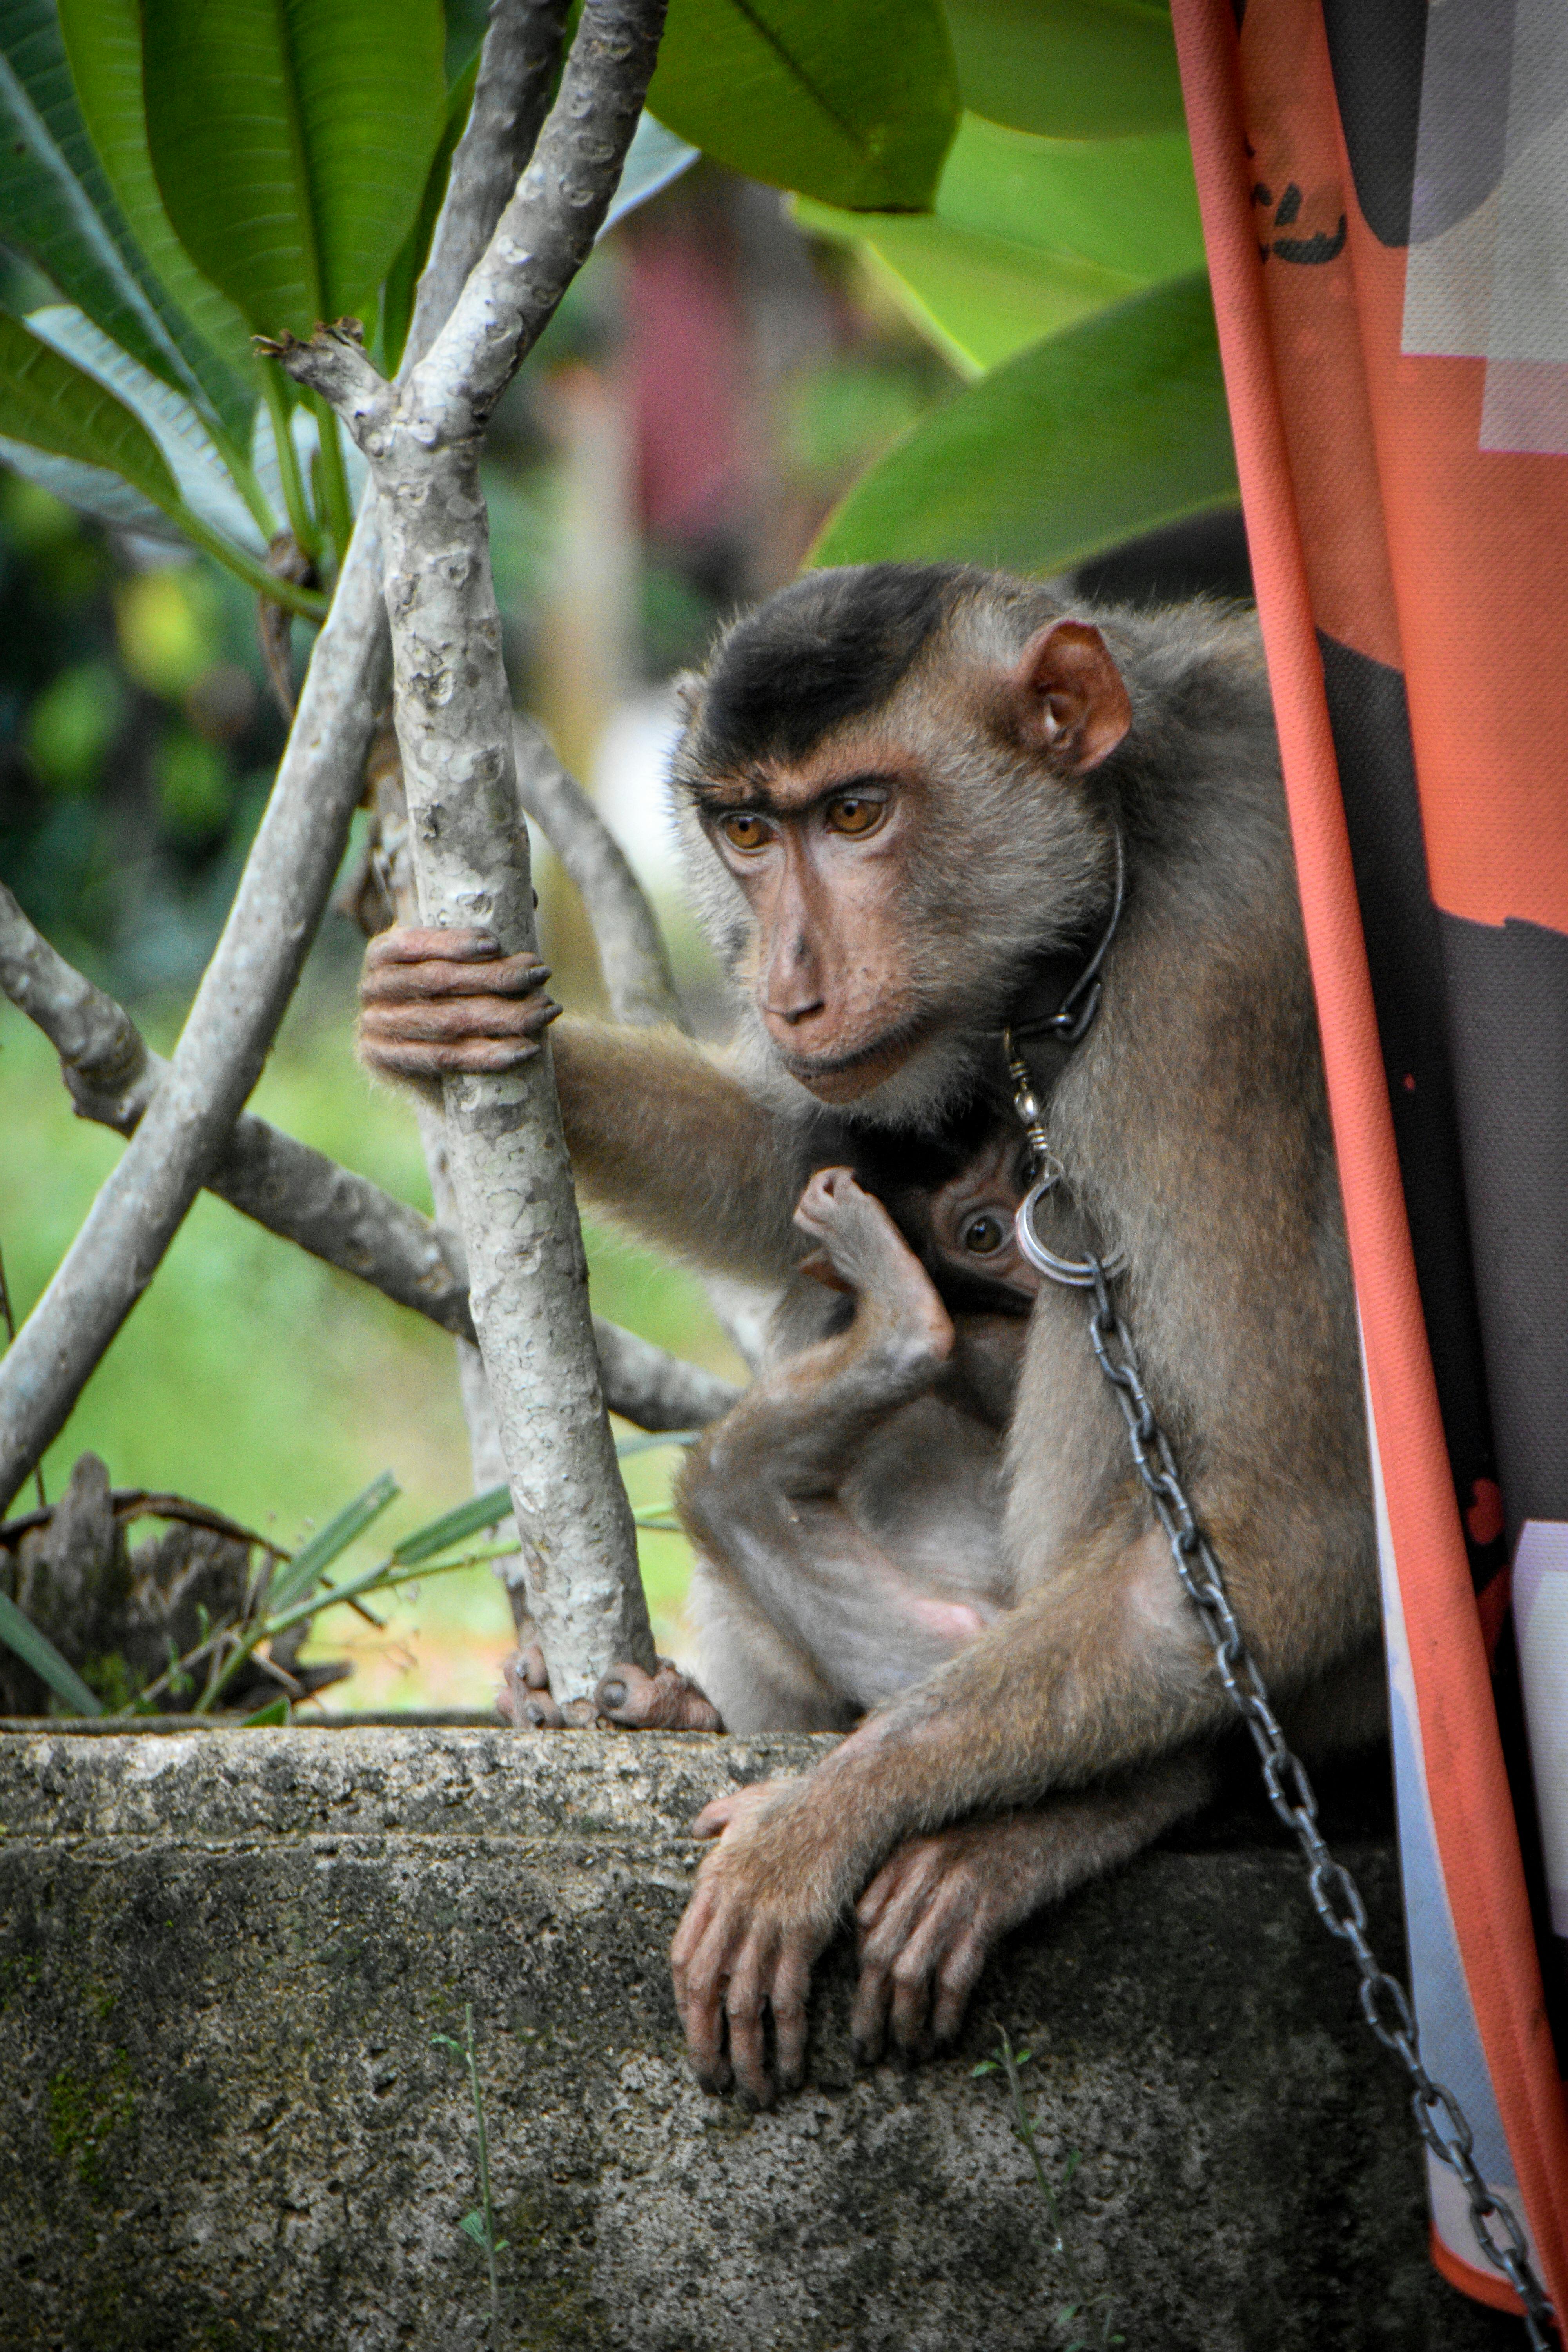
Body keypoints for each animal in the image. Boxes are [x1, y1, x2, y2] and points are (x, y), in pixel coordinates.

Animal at [359, 562, 1383, 2106]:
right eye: (745, 831)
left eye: (856, 815)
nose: (788, 982)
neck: (1125, 838)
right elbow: (796, 1152)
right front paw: (454, 1022)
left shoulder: (1216, 982)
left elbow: (1287, 1522)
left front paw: (823, 1820)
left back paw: (1092, 1794)